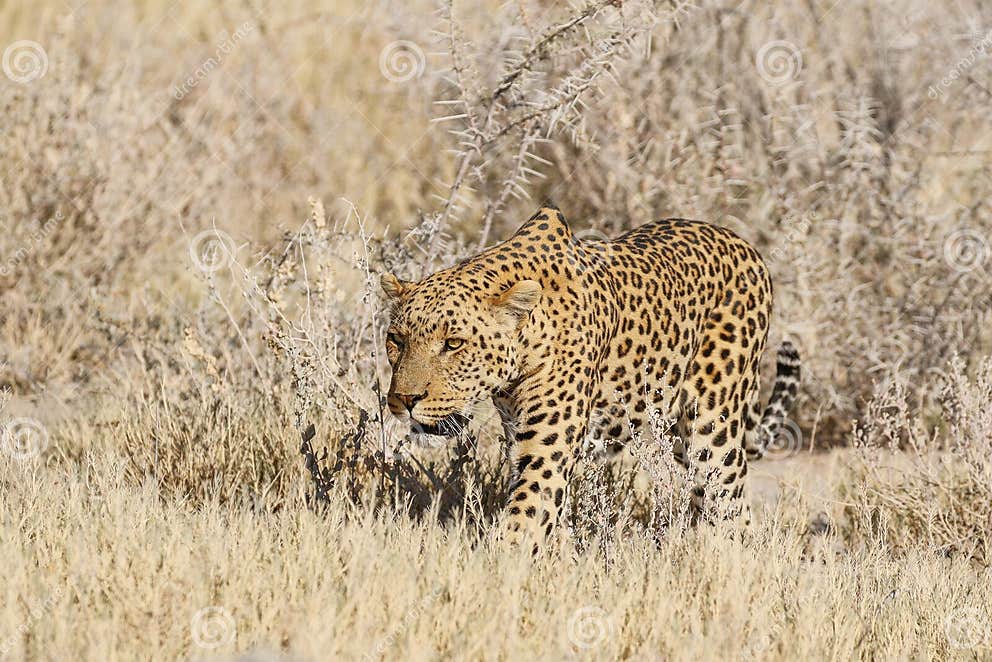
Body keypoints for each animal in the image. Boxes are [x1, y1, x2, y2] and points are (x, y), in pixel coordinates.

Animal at [380, 204, 799, 543]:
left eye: (453, 343)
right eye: (396, 340)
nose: (404, 400)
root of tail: (741, 242)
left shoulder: (546, 454)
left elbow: (524, 521)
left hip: (711, 430)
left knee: (730, 505)